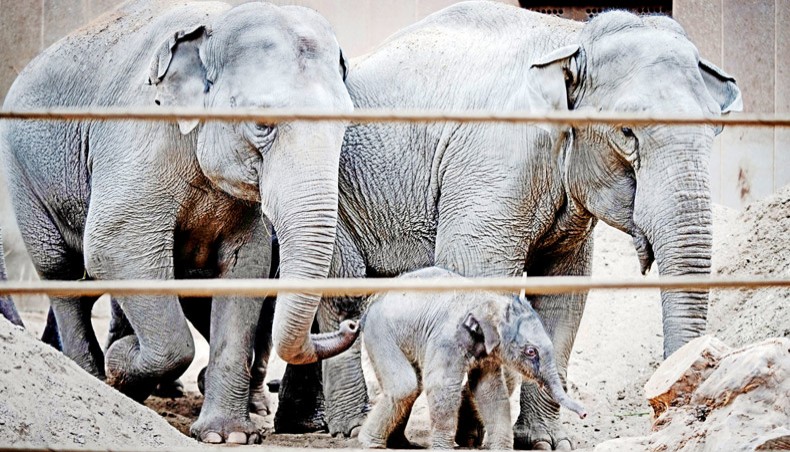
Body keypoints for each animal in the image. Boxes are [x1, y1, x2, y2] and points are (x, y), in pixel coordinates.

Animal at [1, 0, 355, 444]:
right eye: (261, 124)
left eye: (345, 126)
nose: (353, 325)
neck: (216, 25)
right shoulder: (139, 141)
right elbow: (115, 246)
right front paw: (121, 364)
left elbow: (247, 268)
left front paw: (227, 436)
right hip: (25, 178)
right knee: (61, 273)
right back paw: (92, 378)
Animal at [358, 267, 586, 450]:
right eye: (531, 351)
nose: (584, 414)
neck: (488, 300)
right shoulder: (447, 339)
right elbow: (442, 387)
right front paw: (443, 449)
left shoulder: (488, 355)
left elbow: (490, 391)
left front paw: (501, 449)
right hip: (380, 334)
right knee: (405, 386)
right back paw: (369, 444)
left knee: (414, 384)